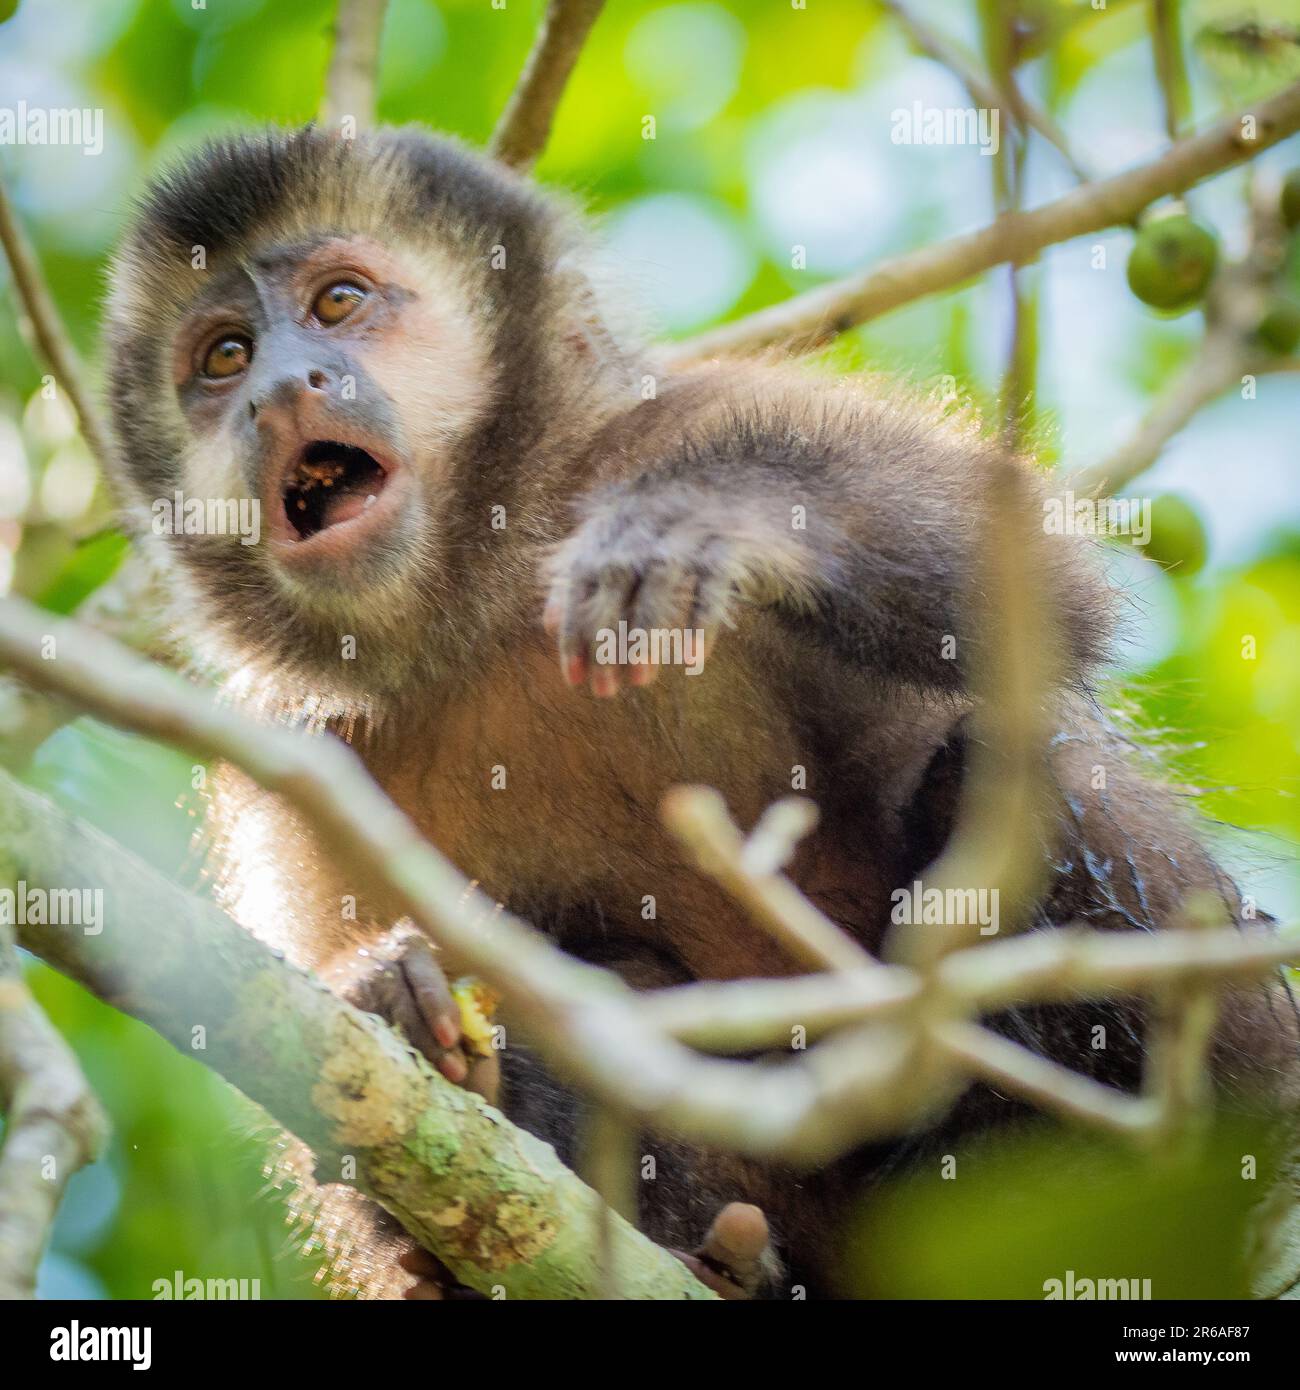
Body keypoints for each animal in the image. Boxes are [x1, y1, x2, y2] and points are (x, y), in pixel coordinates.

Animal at [99, 124, 1298, 1299]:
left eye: (338, 302)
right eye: (223, 358)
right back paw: (727, 1259)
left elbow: (1039, 598)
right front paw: (404, 1006)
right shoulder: (294, 746)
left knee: (1022, 761)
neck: (482, 612)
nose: (281, 389)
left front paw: (720, 515)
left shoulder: (678, 424)